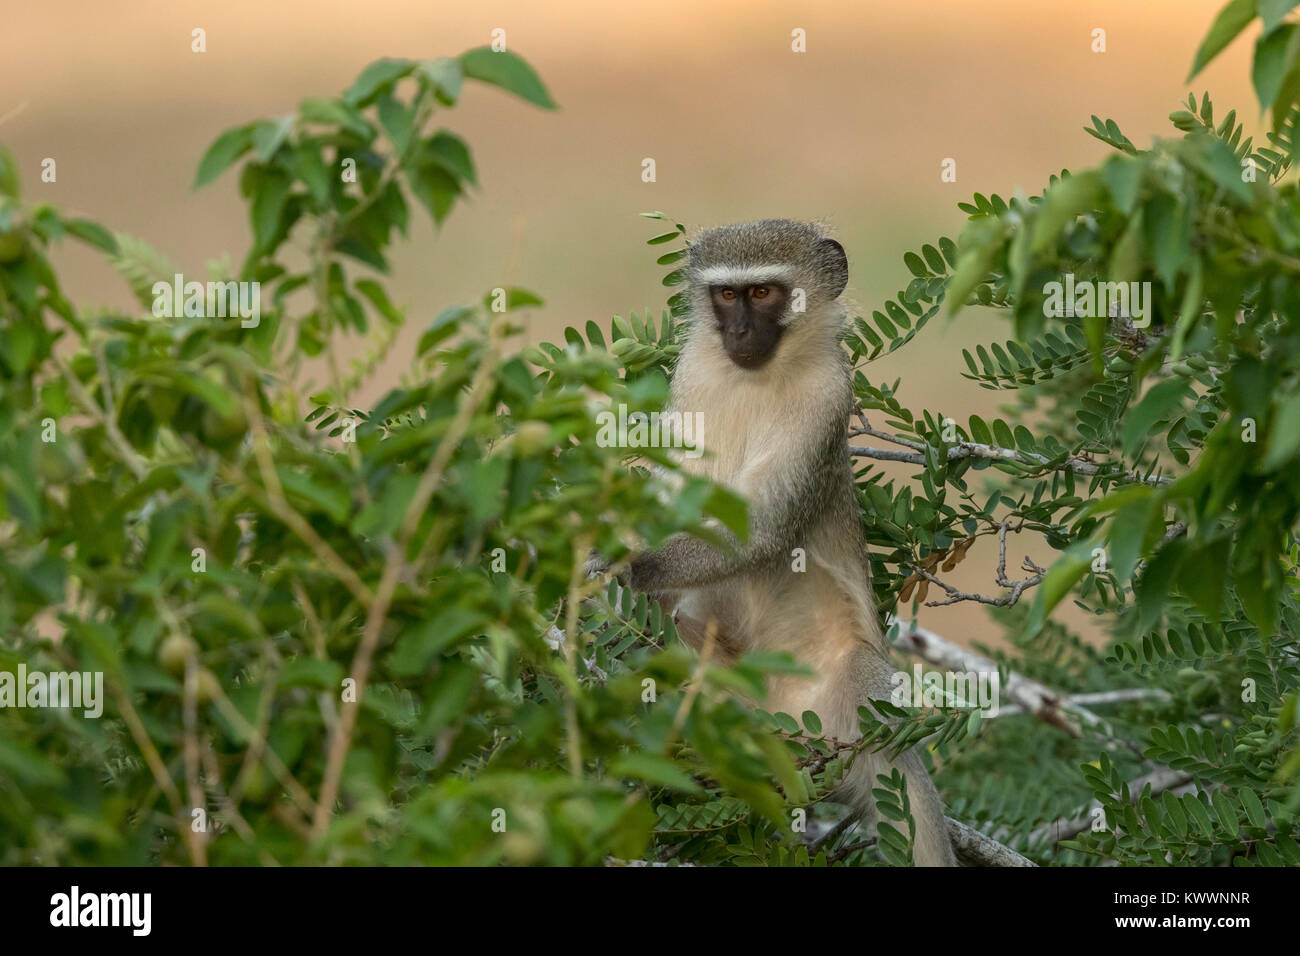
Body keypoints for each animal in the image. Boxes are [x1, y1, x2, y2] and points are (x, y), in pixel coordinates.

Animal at [616, 219, 957, 866]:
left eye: (764, 293)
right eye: (727, 296)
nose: (739, 333)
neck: (759, 377)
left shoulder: (828, 398)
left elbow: (764, 529)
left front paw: (625, 565)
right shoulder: (691, 378)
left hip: (841, 707)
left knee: (888, 749)